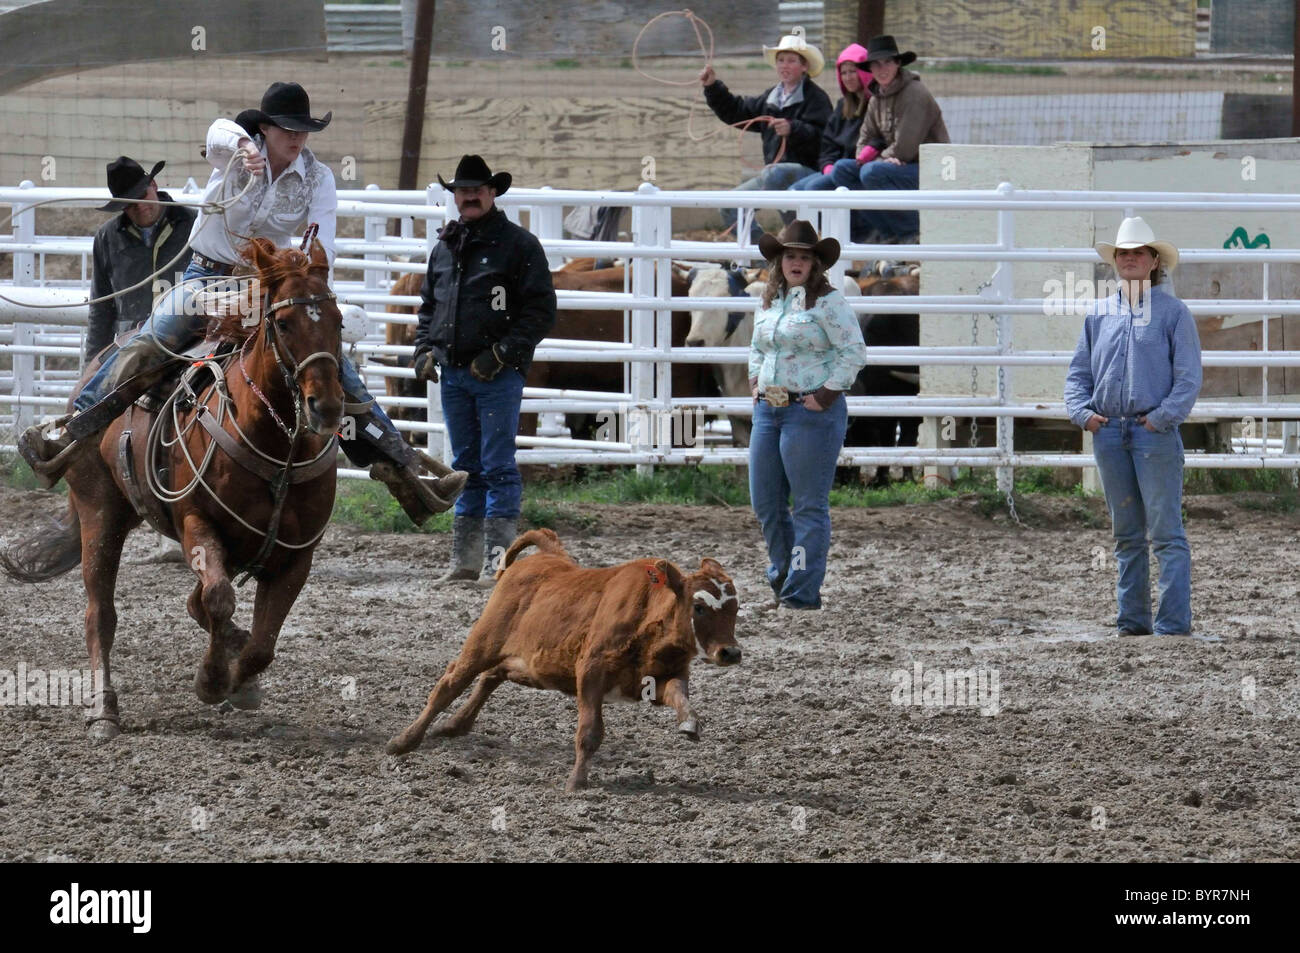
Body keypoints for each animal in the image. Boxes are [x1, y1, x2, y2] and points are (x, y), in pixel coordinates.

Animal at [386, 528, 741, 792]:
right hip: (483, 643)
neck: (649, 616)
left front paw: (689, 724)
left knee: (492, 676)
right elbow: (590, 732)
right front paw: (576, 781)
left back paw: (454, 726)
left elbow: (680, 696)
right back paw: (403, 741)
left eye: (735, 608)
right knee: (450, 684)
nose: (731, 652)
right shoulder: (591, 673)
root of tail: (547, 556)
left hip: (532, 666)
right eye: (699, 607)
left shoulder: (660, 677)